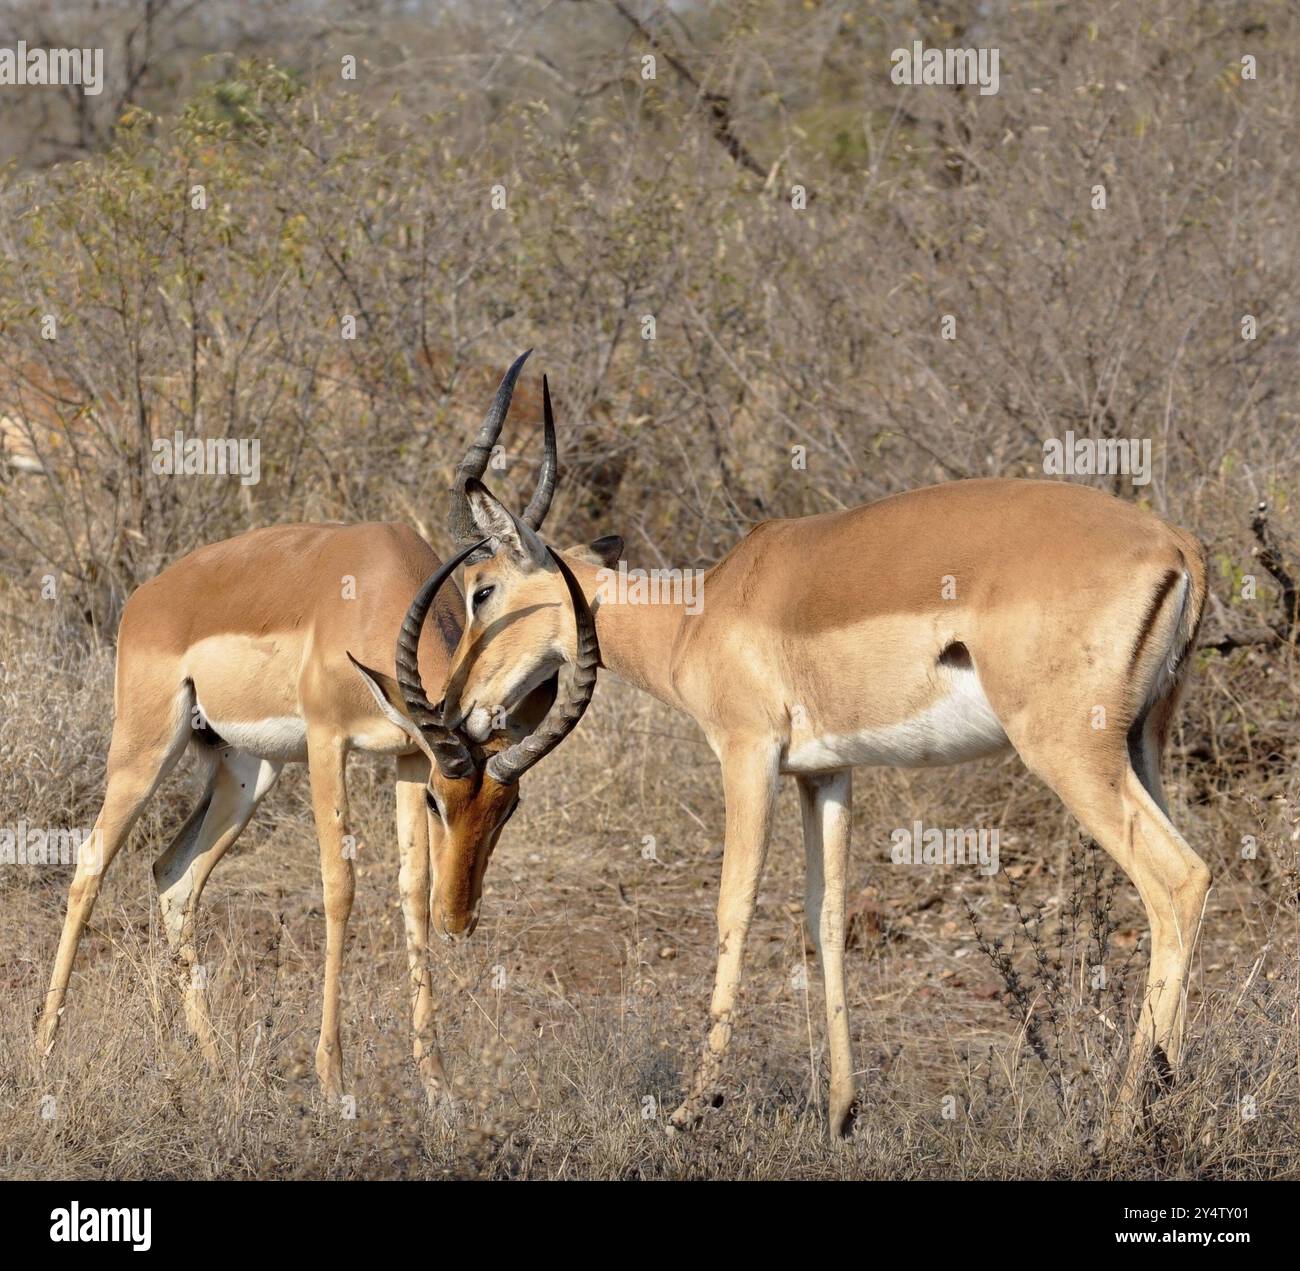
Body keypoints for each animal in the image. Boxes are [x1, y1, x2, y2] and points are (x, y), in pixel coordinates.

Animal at [37, 352, 595, 1105]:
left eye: (506, 808)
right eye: (441, 805)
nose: (462, 920)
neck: (371, 592)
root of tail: (148, 596)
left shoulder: (408, 756)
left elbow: (409, 893)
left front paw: (436, 1082)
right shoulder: (332, 745)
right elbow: (340, 885)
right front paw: (332, 1074)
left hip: (248, 772)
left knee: (174, 874)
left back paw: (214, 1061)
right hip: (146, 752)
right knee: (91, 863)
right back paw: (44, 1050)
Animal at [438, 456, 1210, 1142]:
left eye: (482, 589)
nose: (454, 709)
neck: (698, 615)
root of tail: (1178, 542)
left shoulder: (748, 754)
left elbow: (734, 906)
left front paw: (692, 1107)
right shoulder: (826, 772)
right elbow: (827, 914)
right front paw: (841, 1113)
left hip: (1071, 752)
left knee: (1179, 877)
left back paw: (1125, 1125)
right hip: (1142, 744)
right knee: (1185, 883)